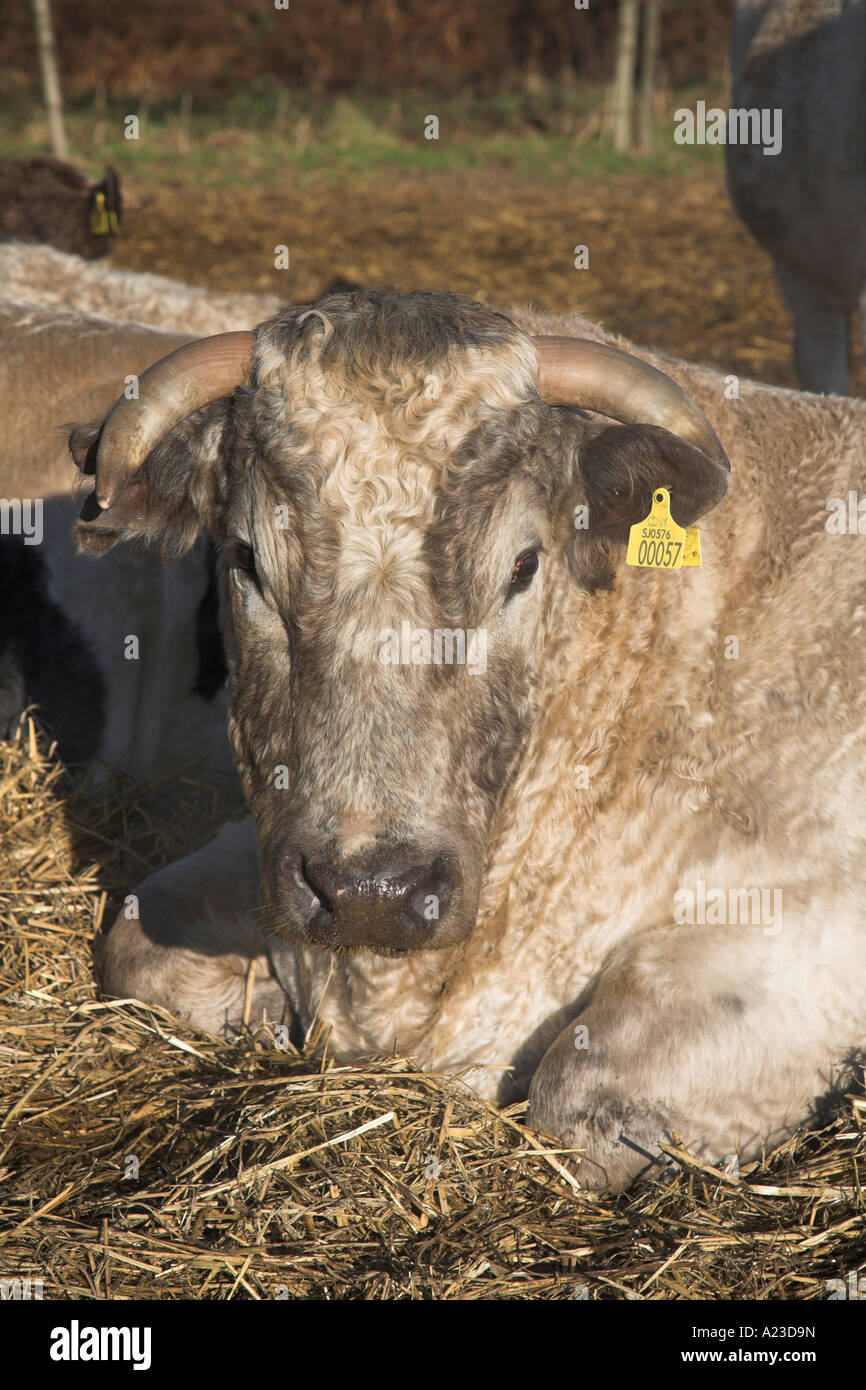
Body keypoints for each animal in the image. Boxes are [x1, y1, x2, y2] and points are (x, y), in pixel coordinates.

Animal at [49, 286, 866, 1191]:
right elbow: (136, 941)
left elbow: (581, 1100)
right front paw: (257, 1004)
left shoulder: (803, 925)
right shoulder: (273, 839)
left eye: (523, 565)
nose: (372, 891)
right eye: (247, 560)